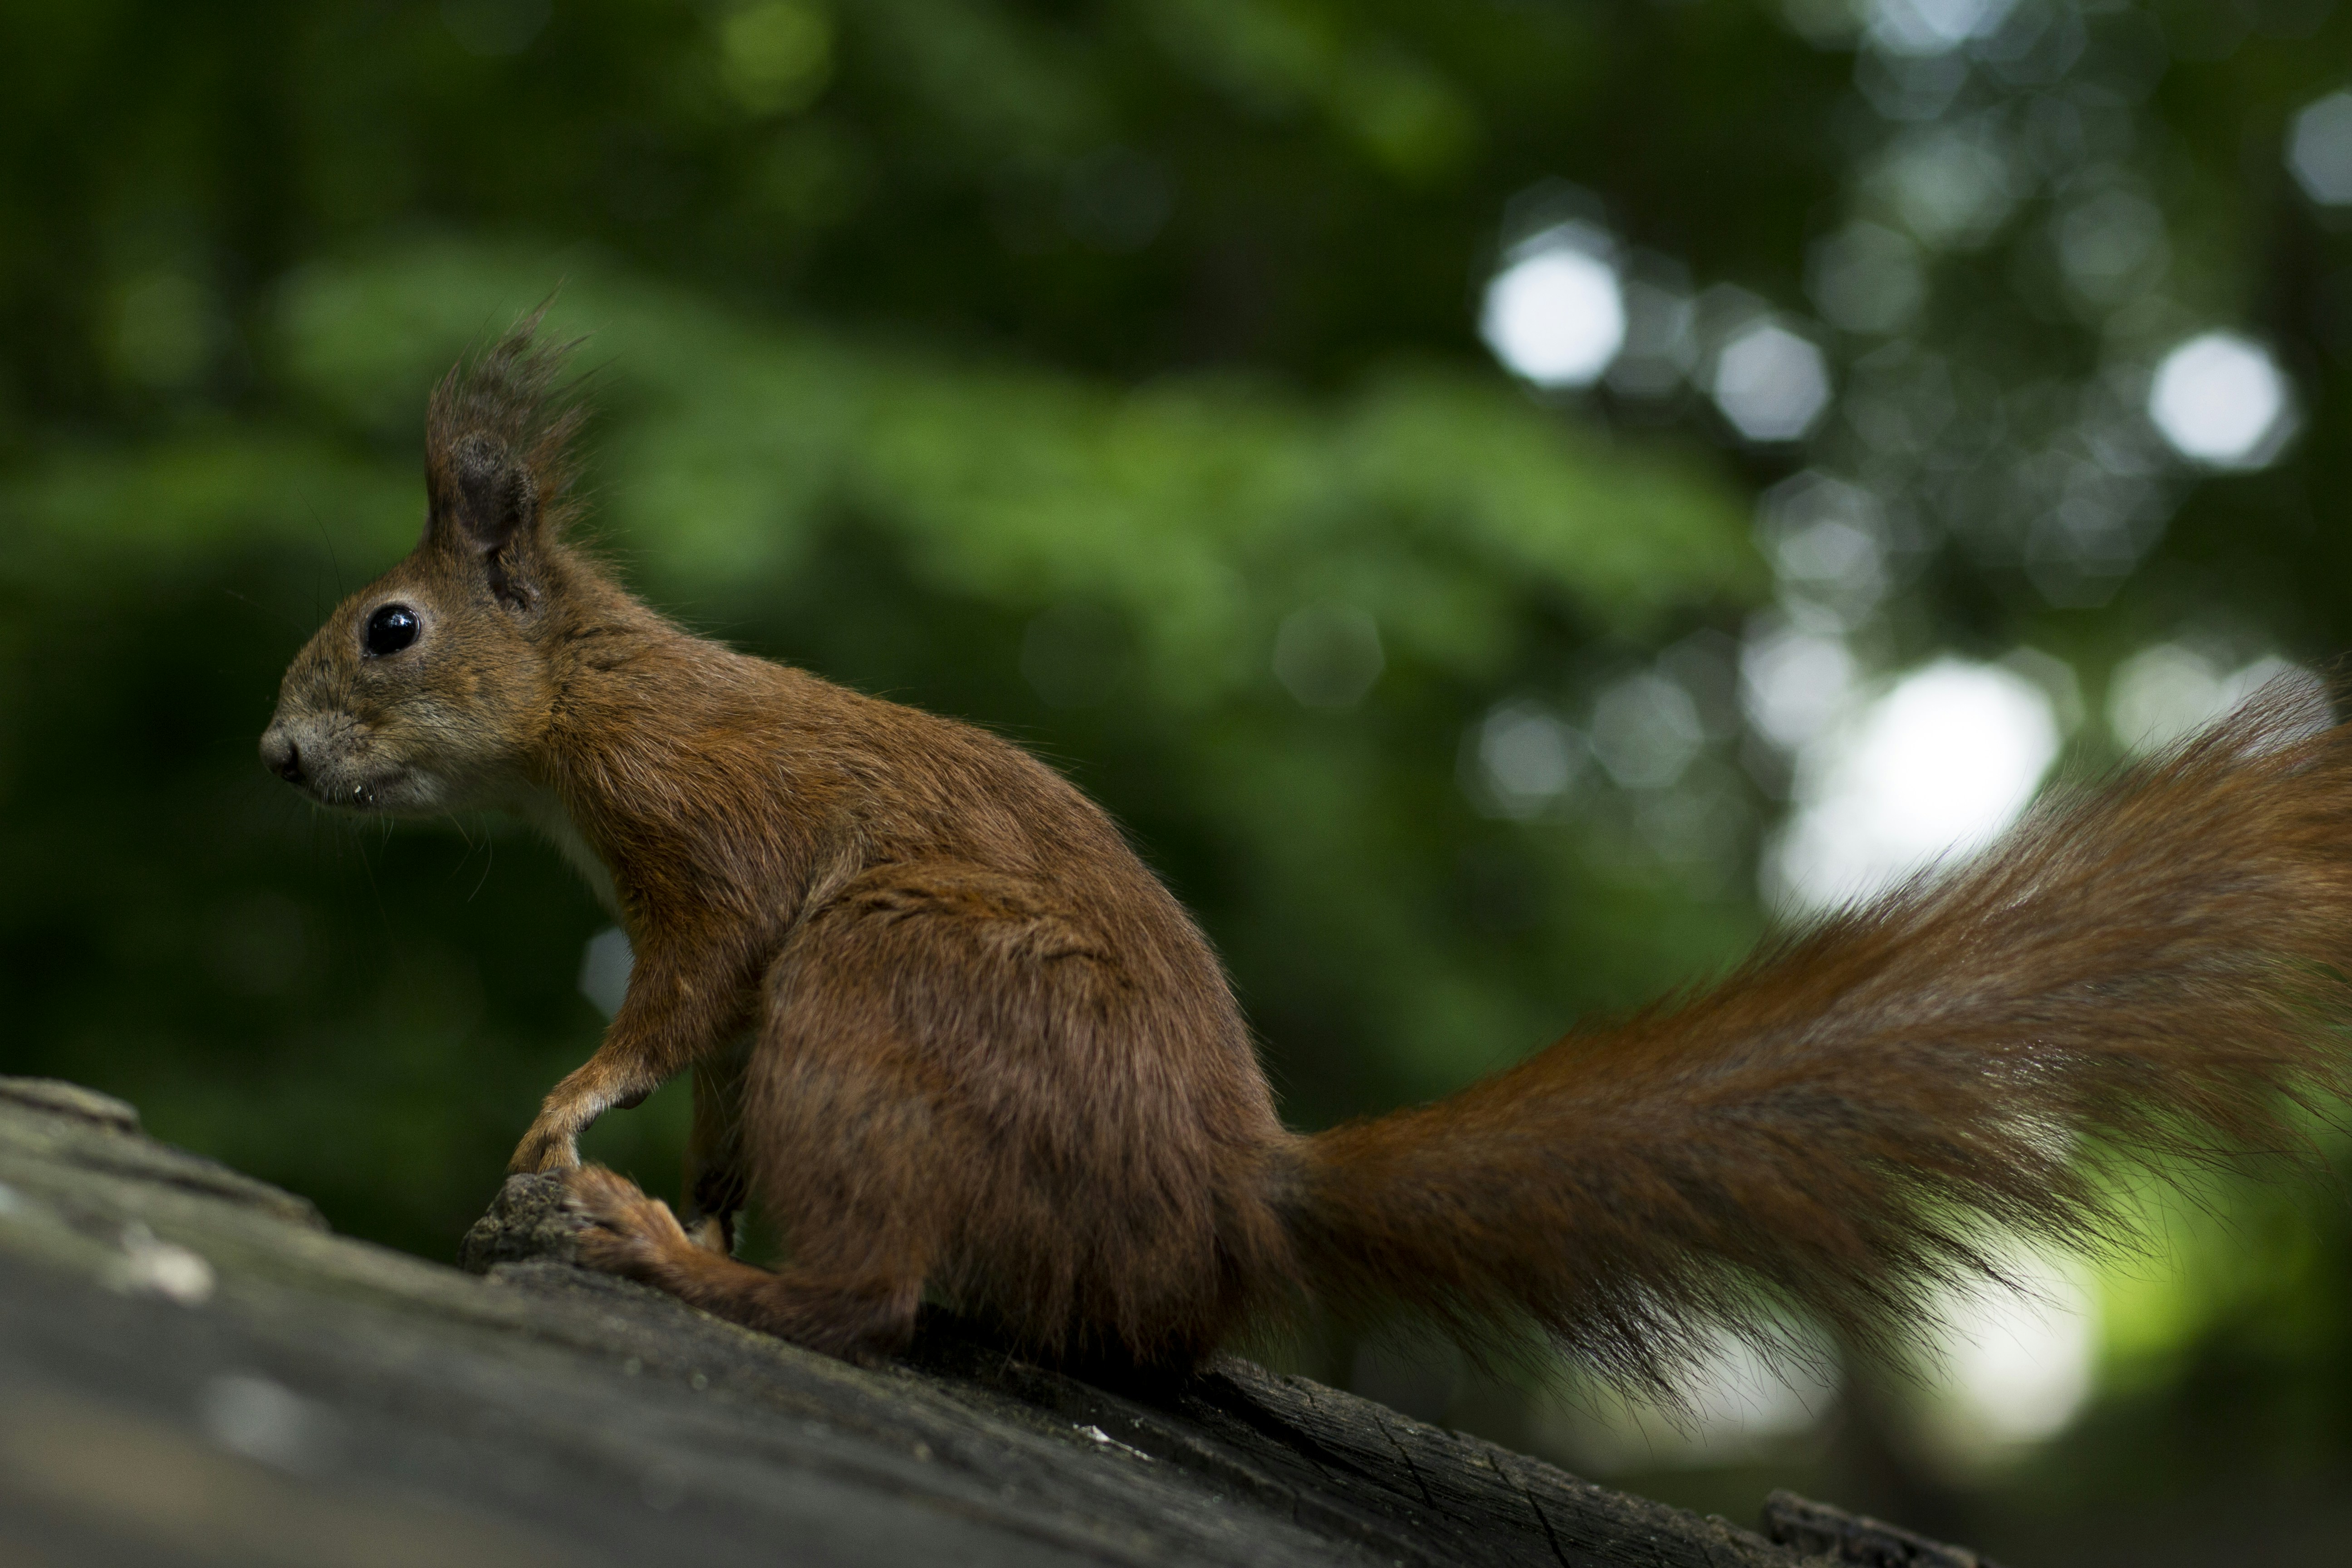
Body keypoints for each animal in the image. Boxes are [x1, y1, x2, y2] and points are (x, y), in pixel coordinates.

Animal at [262, 322, 2352, 1392]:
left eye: (388, 631)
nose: (277, 759)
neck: (595, 706)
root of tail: (1226, 1200)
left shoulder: (715, 852)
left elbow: (682, 1000)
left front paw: (574, 1124)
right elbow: (708, 1072)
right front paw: (695, 1183)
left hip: (901, 976)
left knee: (867, 1300)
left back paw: (661, 1261)